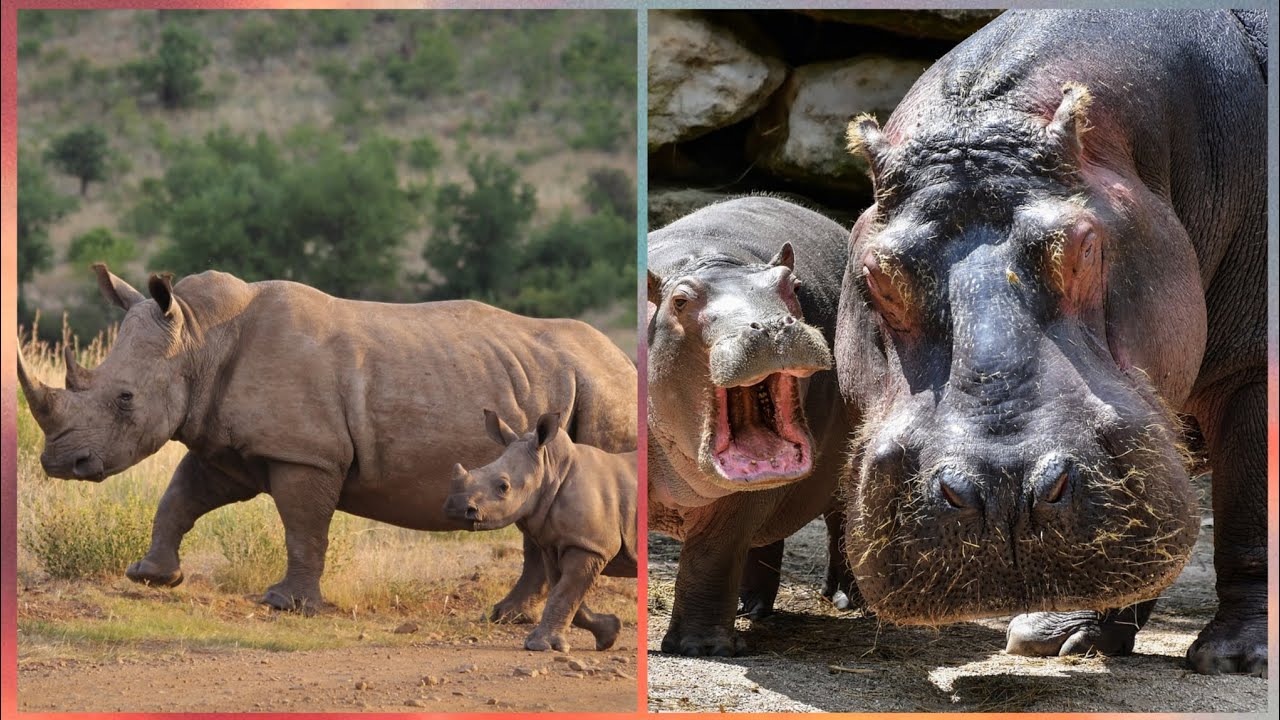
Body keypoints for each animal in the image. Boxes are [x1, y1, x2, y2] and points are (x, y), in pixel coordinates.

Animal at [18, 265, 637, 616]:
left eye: (125, 398)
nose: (59, 462)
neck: (197, 336)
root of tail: (624, 360)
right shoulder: (227, 445)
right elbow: (180, 496)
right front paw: (152, 577)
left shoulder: (305, 453)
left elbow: (303, 527)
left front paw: (286, 606)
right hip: (560, 387)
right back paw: (506, 617)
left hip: (603, 392)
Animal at [444, 410, 638, 653]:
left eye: (503, 487)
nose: (455, 507)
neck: (551, 469)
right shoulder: (555, 544)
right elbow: (566, 593)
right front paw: (610, 633)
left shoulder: (589, 545)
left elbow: (564, 593)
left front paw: (539, 645)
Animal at [647, 196, 852, 656]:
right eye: (680, 301)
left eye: (793, 286)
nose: (774, 326)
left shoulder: (740, 503)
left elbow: (715, 554)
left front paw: (701, 649)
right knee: (765, 542)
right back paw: (750, 609)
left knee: (844, 521)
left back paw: (848, 600)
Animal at [837, 9, 1267, 674]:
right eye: (876, 274)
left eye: (1085, 245)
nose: (1003, 489)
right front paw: (1063, 638)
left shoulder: (1255, 366)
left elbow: (1251, 509)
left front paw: (1235, 656)